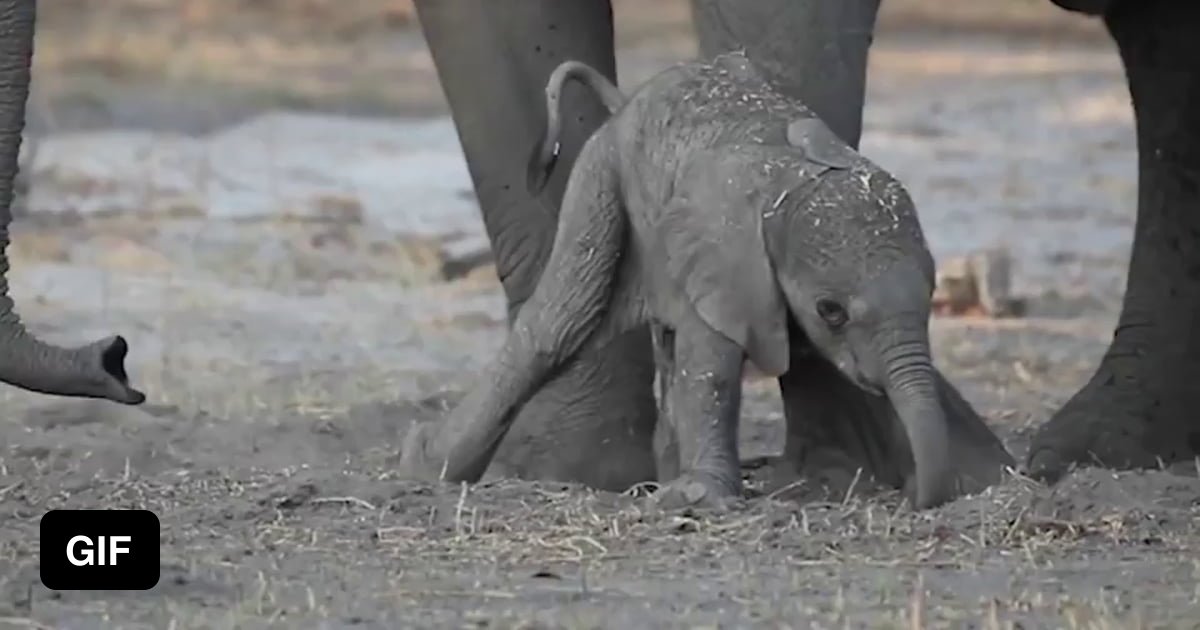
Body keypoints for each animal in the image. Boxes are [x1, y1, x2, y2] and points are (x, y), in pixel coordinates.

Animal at [401, 52, 1014, 509]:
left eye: (932, 296)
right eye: (832, 311)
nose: (916, 496)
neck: (791, 184)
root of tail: (630, 100)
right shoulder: (725, 256)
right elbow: (712, 364)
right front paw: (700, 500)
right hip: (601, 175)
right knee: (558, 323)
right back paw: (426, 463)